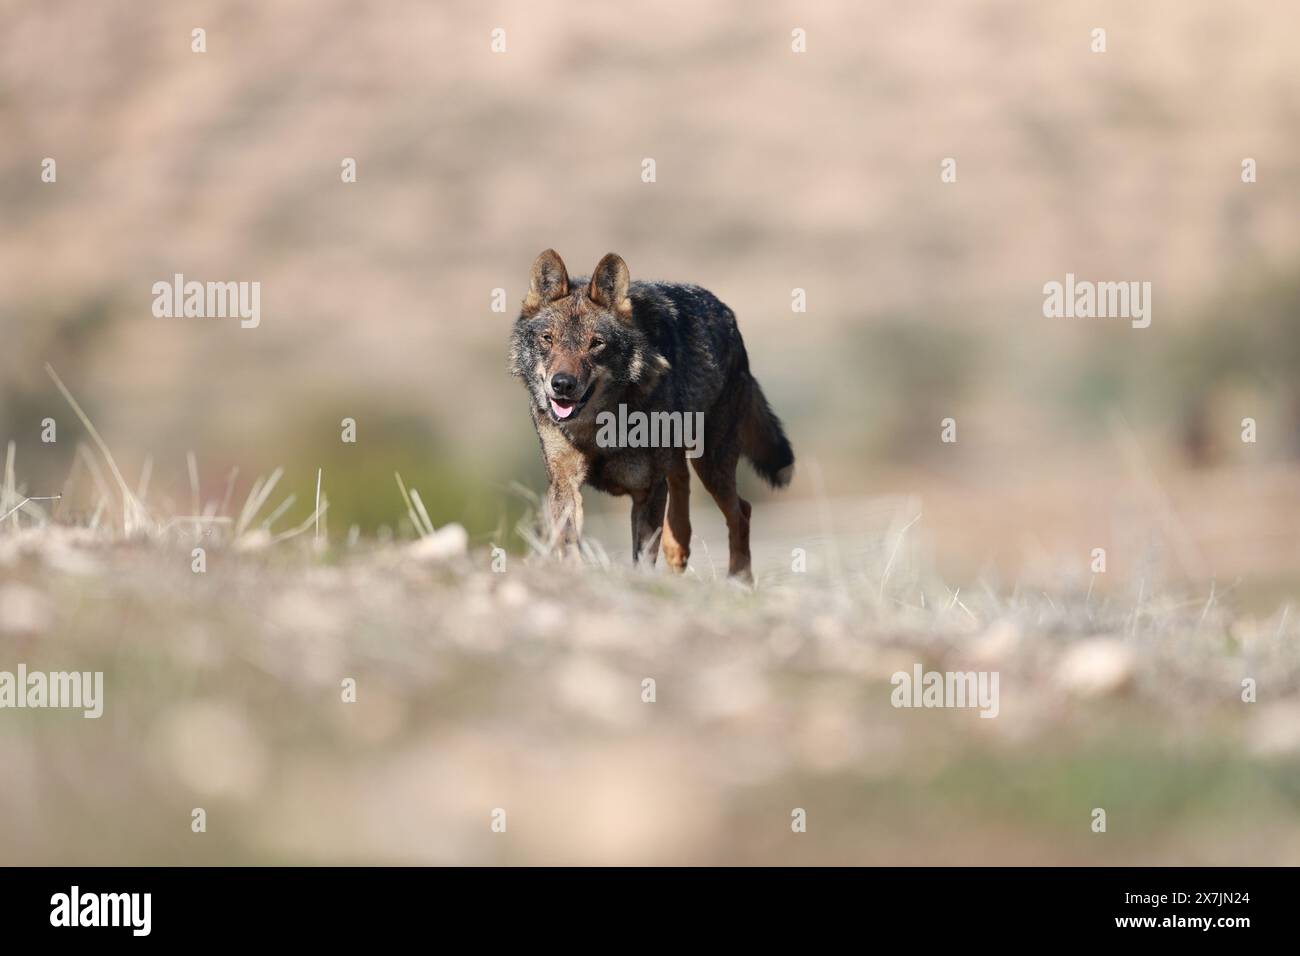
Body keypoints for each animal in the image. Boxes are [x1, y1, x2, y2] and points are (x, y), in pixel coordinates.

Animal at [509, 250, 794, 582]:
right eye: (548, 339)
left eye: (596, 343)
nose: (563, 385)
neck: (598, 426)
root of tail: (729, 316)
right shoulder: (564, 484)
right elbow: (568, 544)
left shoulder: (647, 489)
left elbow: (643, 556)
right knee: (683, 484)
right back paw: (678, 549)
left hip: (711, 464)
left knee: (741, 510)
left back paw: (739, 580)